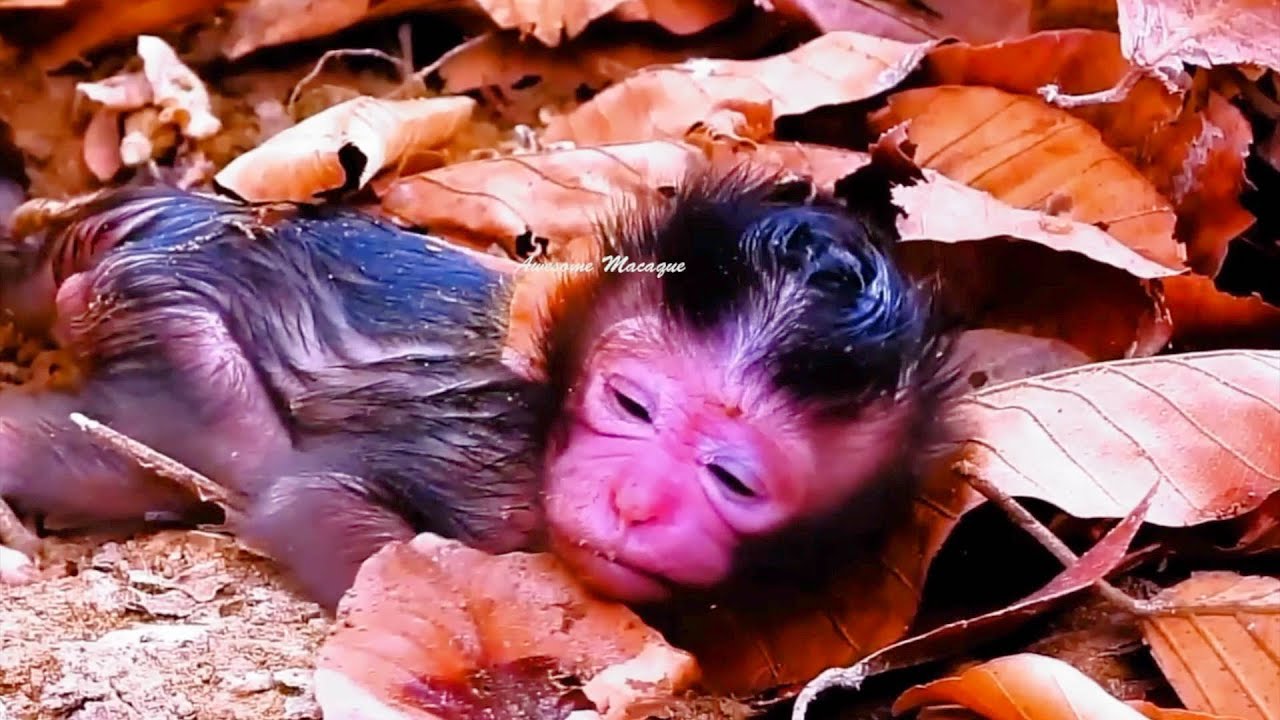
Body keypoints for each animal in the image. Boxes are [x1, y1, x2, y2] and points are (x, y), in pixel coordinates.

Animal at [0, 167, 959, 611]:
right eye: (631, 406)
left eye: (734, 479)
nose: (637, 501)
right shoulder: (488, 471)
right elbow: (312, 503)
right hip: (159, 315)